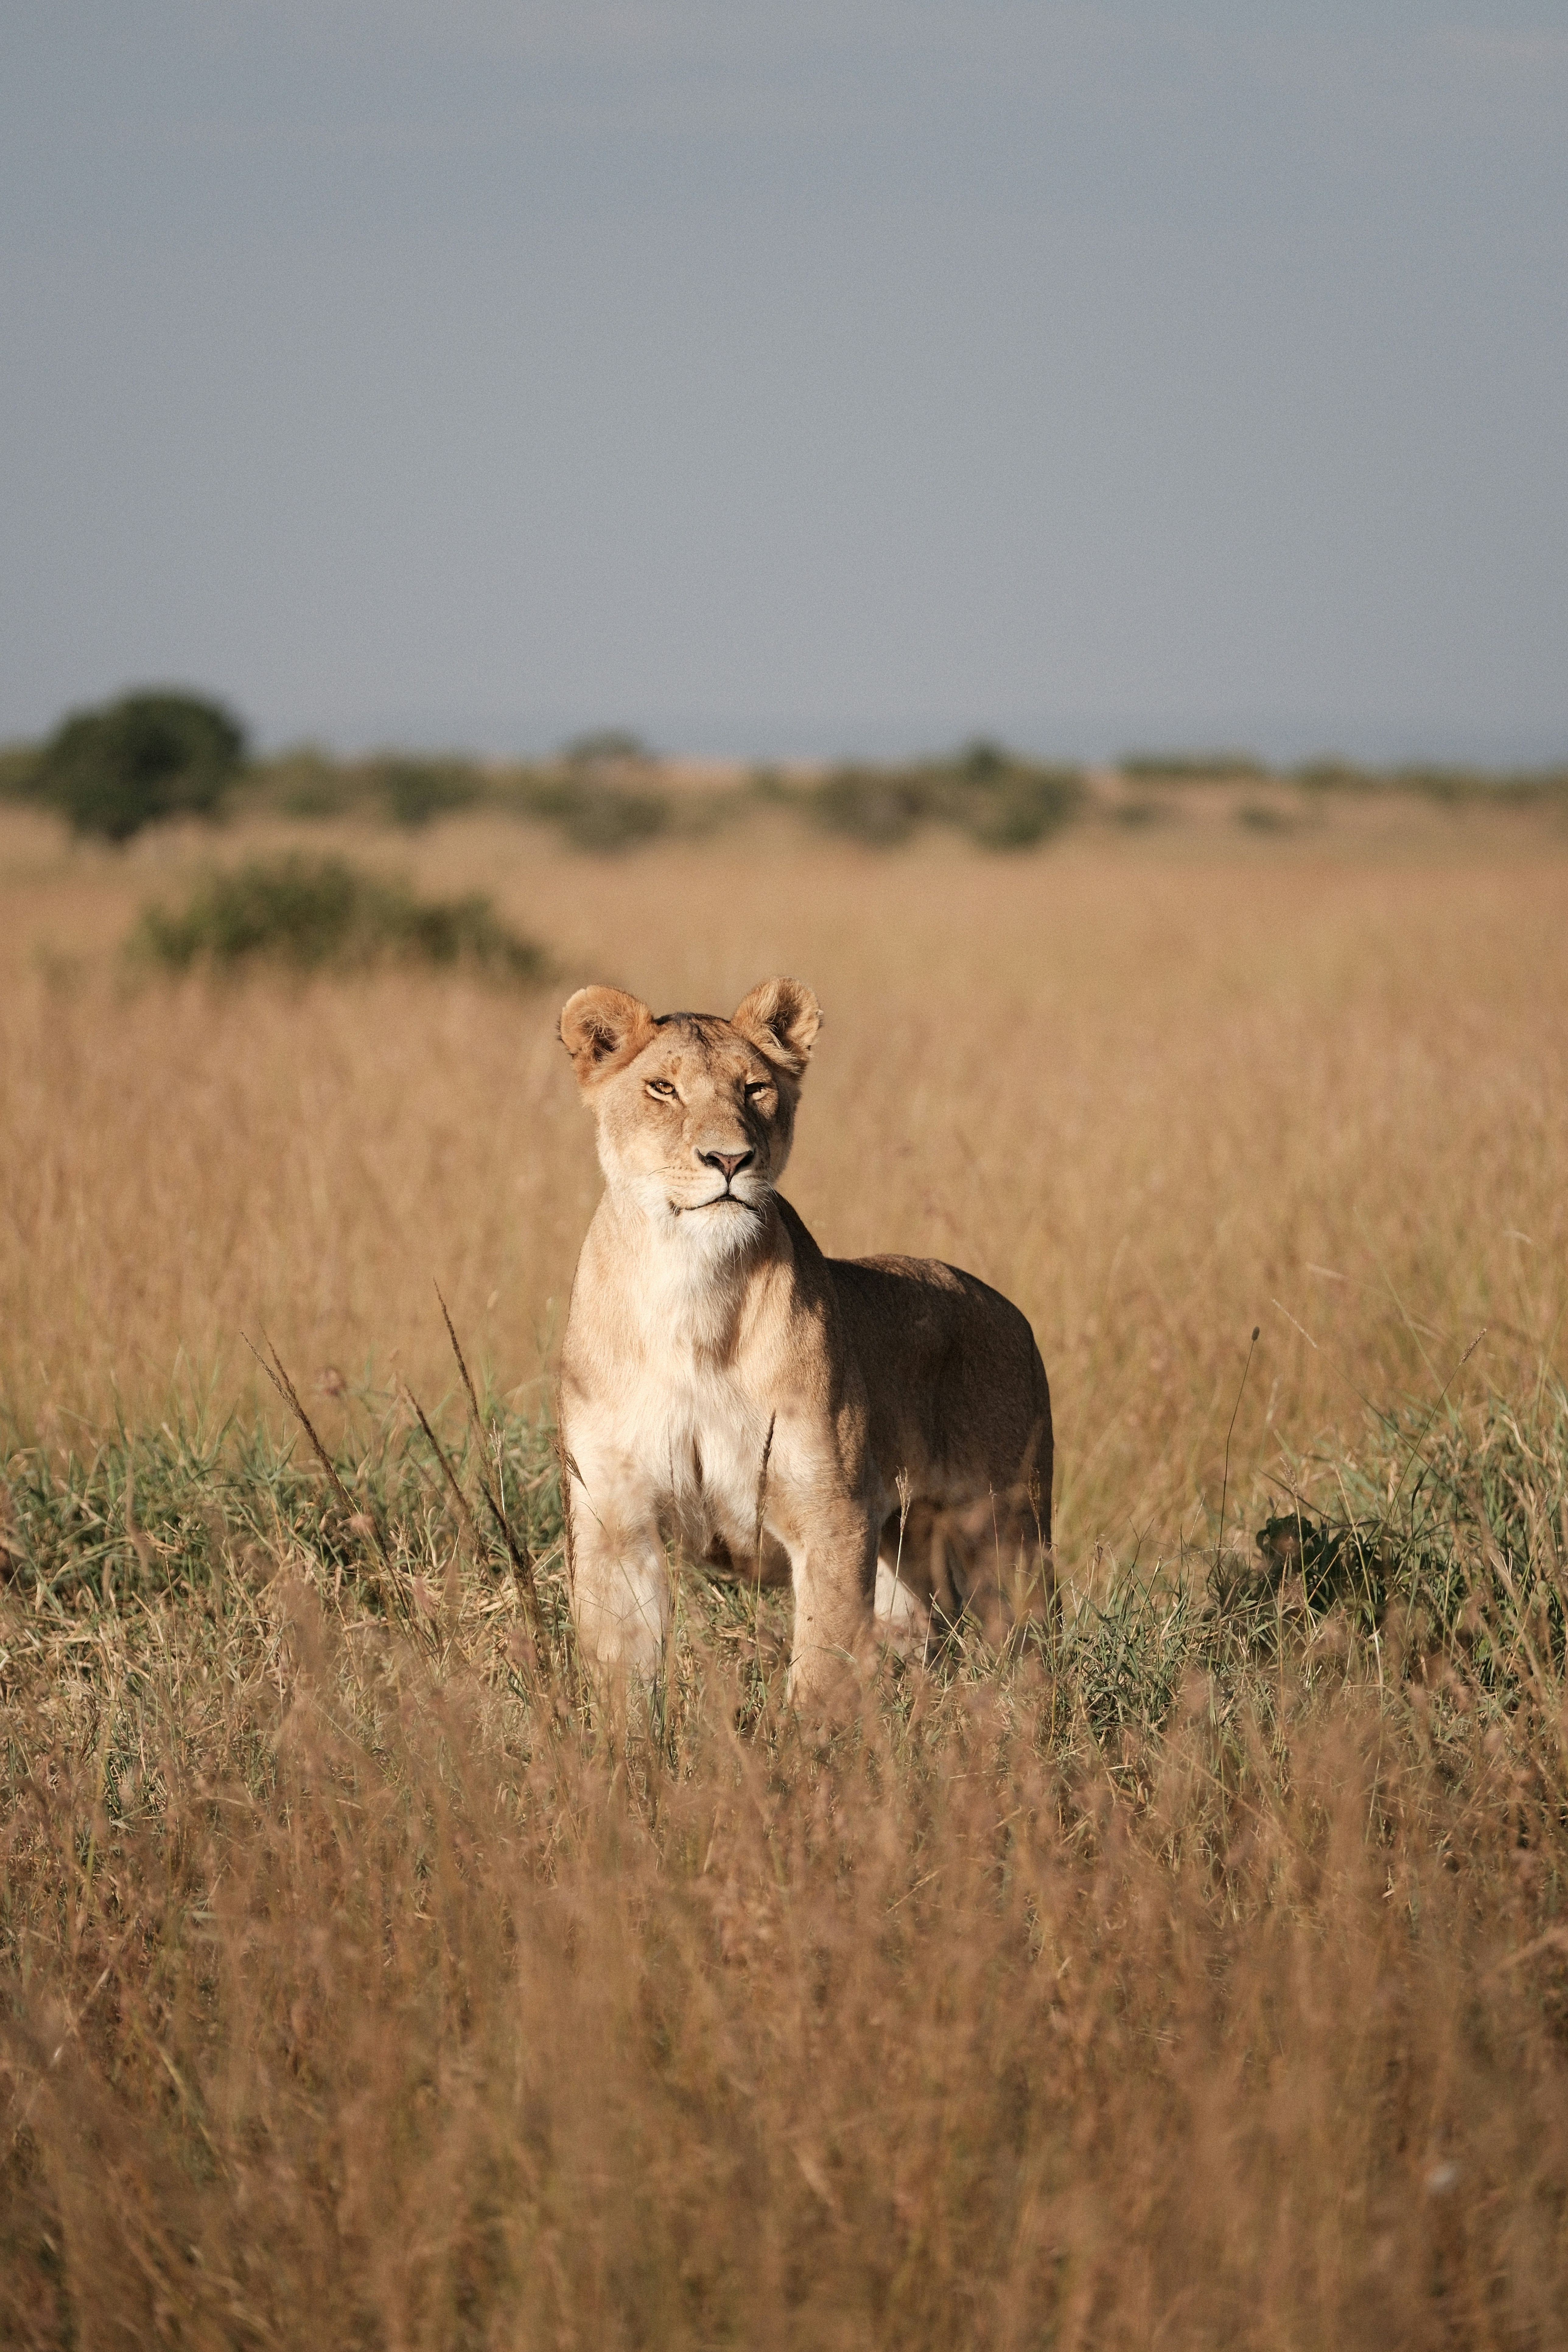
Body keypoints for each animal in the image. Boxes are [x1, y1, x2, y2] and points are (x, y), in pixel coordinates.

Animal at [556, 976, 1053, 1705]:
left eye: (756, 1088)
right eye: (663, 1089)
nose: (730, 1159)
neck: (693, 1287)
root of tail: (1010, 1309)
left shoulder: (830, 1515)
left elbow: (820, 1671)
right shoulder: (616, 1522)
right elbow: (621, 1677)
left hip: (1006, 1530)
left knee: (1028, 1635)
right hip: (906, 1545)